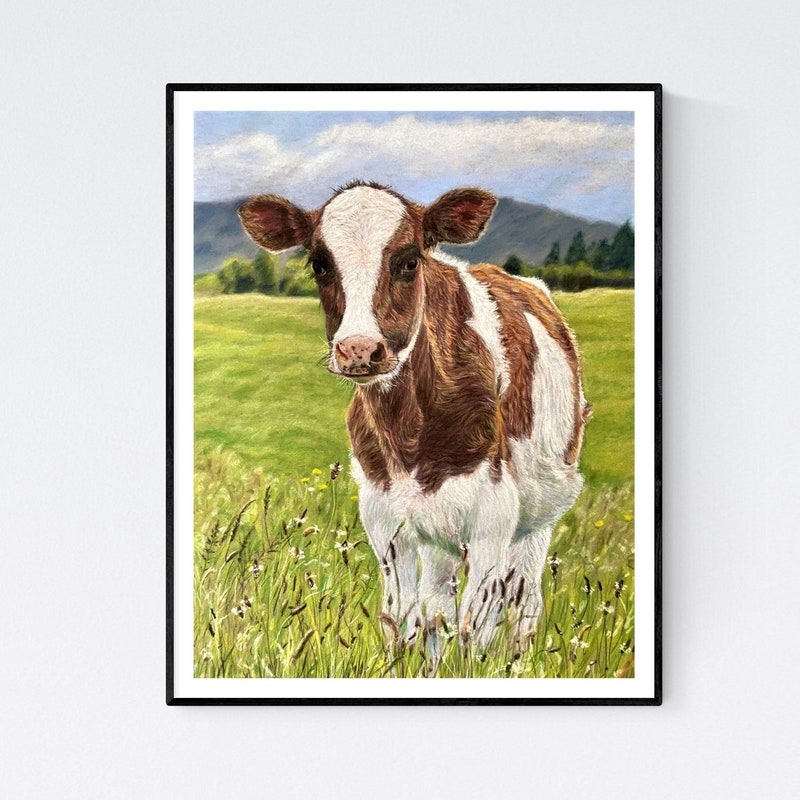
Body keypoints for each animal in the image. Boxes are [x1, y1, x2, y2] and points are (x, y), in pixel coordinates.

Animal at [239, 181, 590, 655]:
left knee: (523, 599)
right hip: (438, 532)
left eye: (409, 261)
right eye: (319, 264)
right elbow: (401, 618)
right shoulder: (384, 518)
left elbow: (475, 627)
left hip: (539, 514)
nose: (359, 350)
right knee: (436, 604)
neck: (407, 431)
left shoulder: (493, 516)